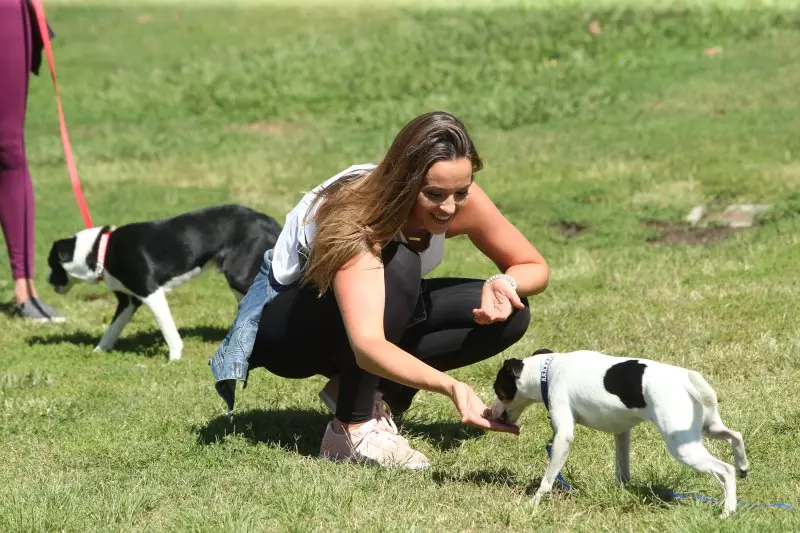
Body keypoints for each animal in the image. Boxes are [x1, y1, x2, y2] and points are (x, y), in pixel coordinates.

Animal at [47, 204, 282, 362]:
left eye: (51, 264)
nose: (48, 281)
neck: (101, 250)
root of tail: (268, 221)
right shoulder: (128, 301)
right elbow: (112, 329)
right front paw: (98, 351)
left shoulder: (151, 293)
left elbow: (168, 329)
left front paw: (175, 357)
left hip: (239, 275)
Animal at [490, 348, 748, 516]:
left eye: (498, 389)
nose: (489, 412)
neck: (548, 370)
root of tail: (684, 379)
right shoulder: (622, 433)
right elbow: (622, 470)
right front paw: (621, 491)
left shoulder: (563, 435)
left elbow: (547, 479)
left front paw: (533, 503)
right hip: (705, 428)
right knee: (735, 435)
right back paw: (743, 466)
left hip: (683, 447)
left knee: (724, 470)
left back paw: (728, 509)